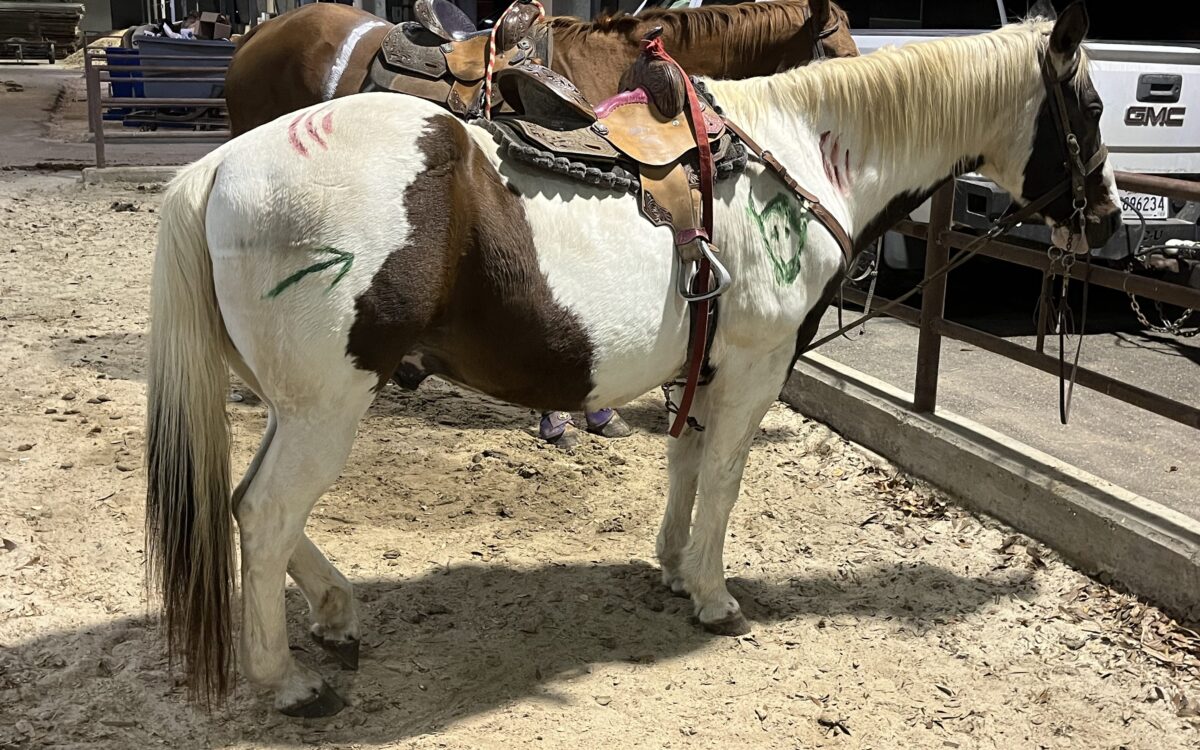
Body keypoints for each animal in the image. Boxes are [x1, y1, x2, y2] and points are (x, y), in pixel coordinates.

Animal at [144, 3, 1120, 717]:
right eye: (1092, 108)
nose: (1108, 218)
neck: (802, 158)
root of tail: (222, 166)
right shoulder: (756, 367)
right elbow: (723, 475)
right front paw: (715, 596)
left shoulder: (708, 365)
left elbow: (685, 462)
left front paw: (673, 566)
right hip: (327, 406)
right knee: (265, 514)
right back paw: (287, 681)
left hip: (300, 405)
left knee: (251, 504)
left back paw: (337, 613)